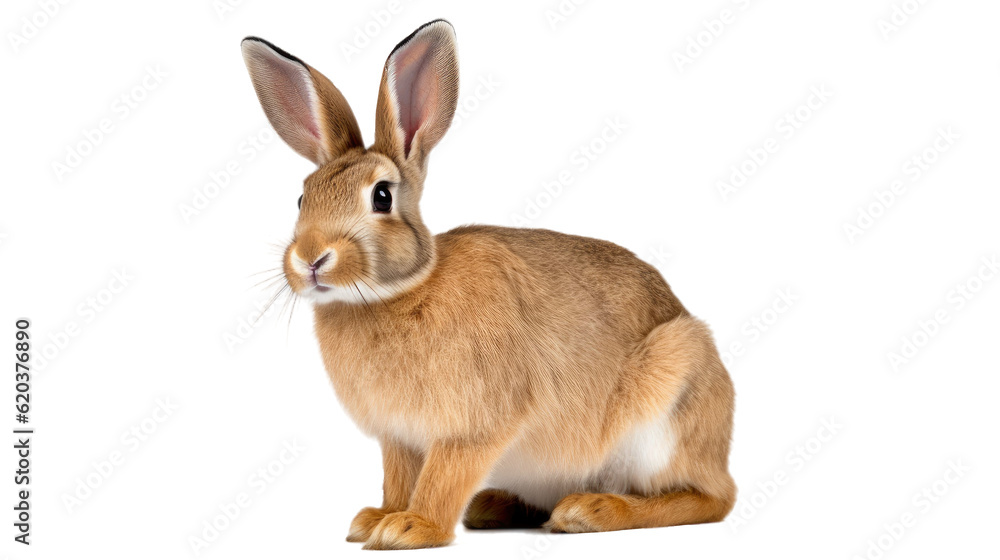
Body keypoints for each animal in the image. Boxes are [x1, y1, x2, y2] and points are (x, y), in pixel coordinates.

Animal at [241, 19, 736, 550]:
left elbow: (443, 478)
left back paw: (591, 510)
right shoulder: (398, 438)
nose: (311, 259)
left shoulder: (471, 428)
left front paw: (411, 528)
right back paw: (496, 506)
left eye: (381, 196)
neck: (397, 293)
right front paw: (376, 519)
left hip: (669, 405)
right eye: (301, 198)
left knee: (709, 499)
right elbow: (398, 477)